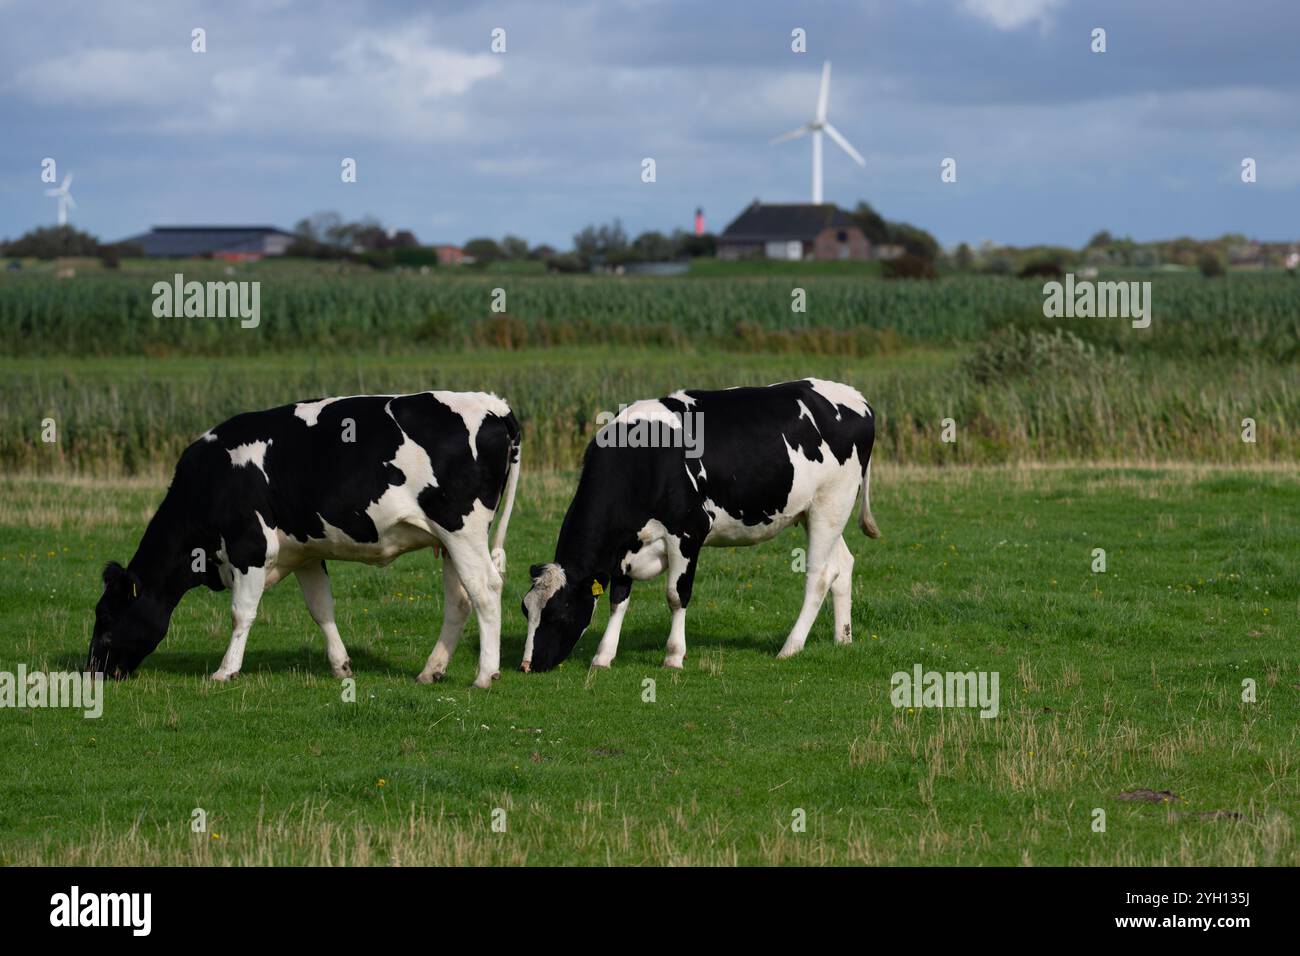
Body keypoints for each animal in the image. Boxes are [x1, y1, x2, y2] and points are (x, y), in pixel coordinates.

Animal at [88, 391, 521, 689]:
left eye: (106, 617)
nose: (91, 670)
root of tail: (493, 404)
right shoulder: (306, 552)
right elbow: (321, 609)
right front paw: (341, 666)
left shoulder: (250, 547)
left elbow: (241, 613)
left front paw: (226, 670)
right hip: (448, 542)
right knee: (459, 601)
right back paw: (431, 670)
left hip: (462, 530)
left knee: (485, 590)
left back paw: (485, 674)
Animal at [520, 378, 879, 673]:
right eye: (526, 610)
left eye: (560, 613)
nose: (527, 665)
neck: (643, 460)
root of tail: (857, 397)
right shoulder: (624, 545)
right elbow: (618, 598)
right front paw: (603, 655)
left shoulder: (688, 531)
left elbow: (676, 595)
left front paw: (674, 656)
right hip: (814, 512)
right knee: (842, 564)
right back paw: (842, 639)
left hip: (830, 504)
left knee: (819, 575)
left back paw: (790, 647)